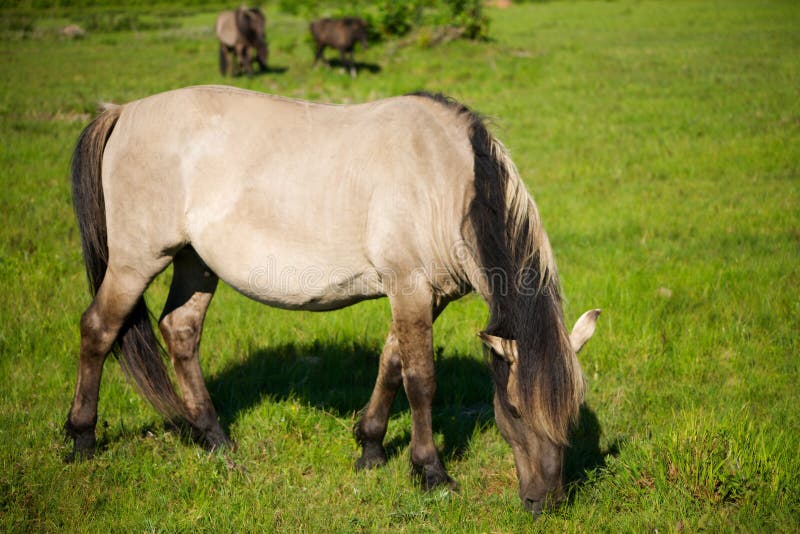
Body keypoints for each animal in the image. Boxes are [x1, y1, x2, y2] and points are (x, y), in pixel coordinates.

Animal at [65, 85, 599, 515]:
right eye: (514, 411)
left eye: (572, 411)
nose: (545, 502)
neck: (445, 181)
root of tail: (123, 113)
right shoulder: (409, 287)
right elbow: (421, 381)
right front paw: (431, 473)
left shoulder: (422, 296)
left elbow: (392, 365)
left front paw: (371, 449)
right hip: (137, 260)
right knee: (98, 330)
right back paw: (81, 440)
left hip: (195, 262)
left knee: (180, 331)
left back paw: (215, 439)